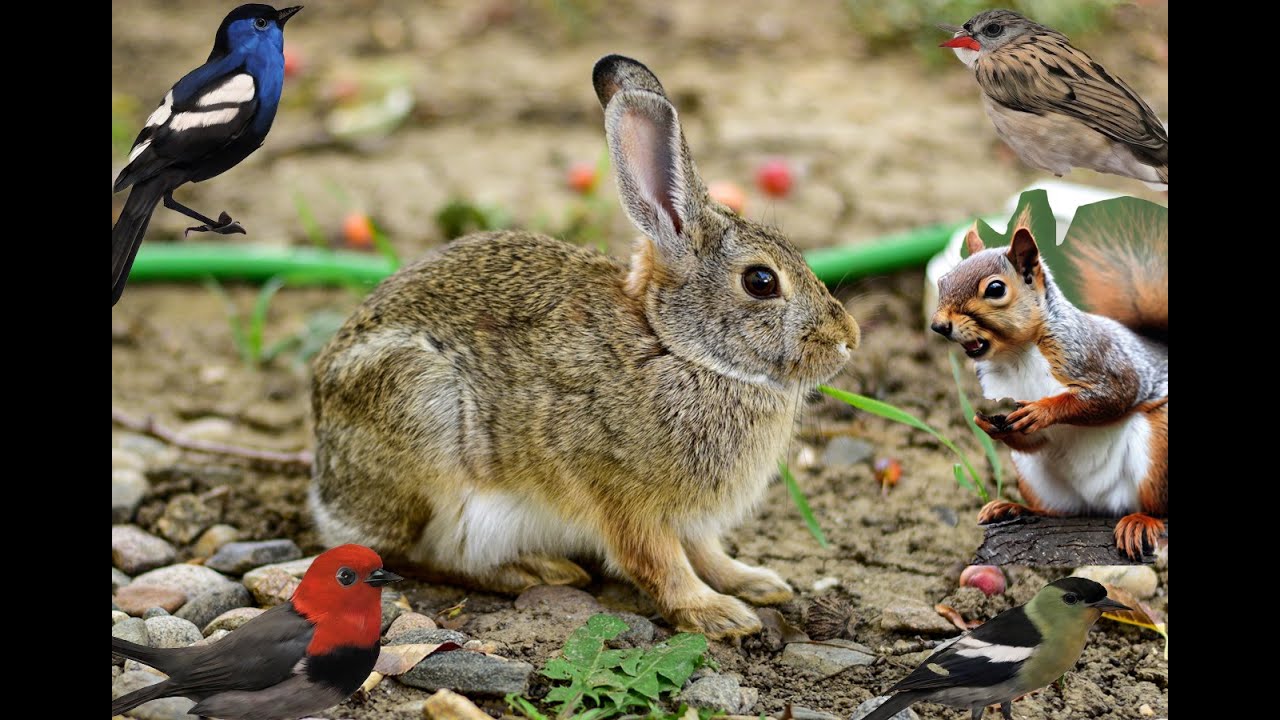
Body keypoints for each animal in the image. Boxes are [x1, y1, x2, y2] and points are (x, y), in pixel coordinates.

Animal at [309, 55, 861, 638]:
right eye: (760, 281)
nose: (848, 339)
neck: (675, 346)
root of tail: (328, 492)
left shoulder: (689, 517)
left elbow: (707, 553)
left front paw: (754, 583)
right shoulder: (624, 498)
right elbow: (660, 562)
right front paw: (718, 614)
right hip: (423, 419)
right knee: (419, 556)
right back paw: (539, 570)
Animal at [930, 207, 1167, 560]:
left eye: (996, 289)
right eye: (942, 281)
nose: (938, 326)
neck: (1016, 353)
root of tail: (1104, 504)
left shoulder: (1101, 359)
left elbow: (1113, 395)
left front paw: (1042, 410)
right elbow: (1032, 438)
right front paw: (985, 423)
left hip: (1160, 451)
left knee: (1159, 507)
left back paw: (1142, 521)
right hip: (1036, 479)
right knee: (1061, 510)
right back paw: (1015, 508)